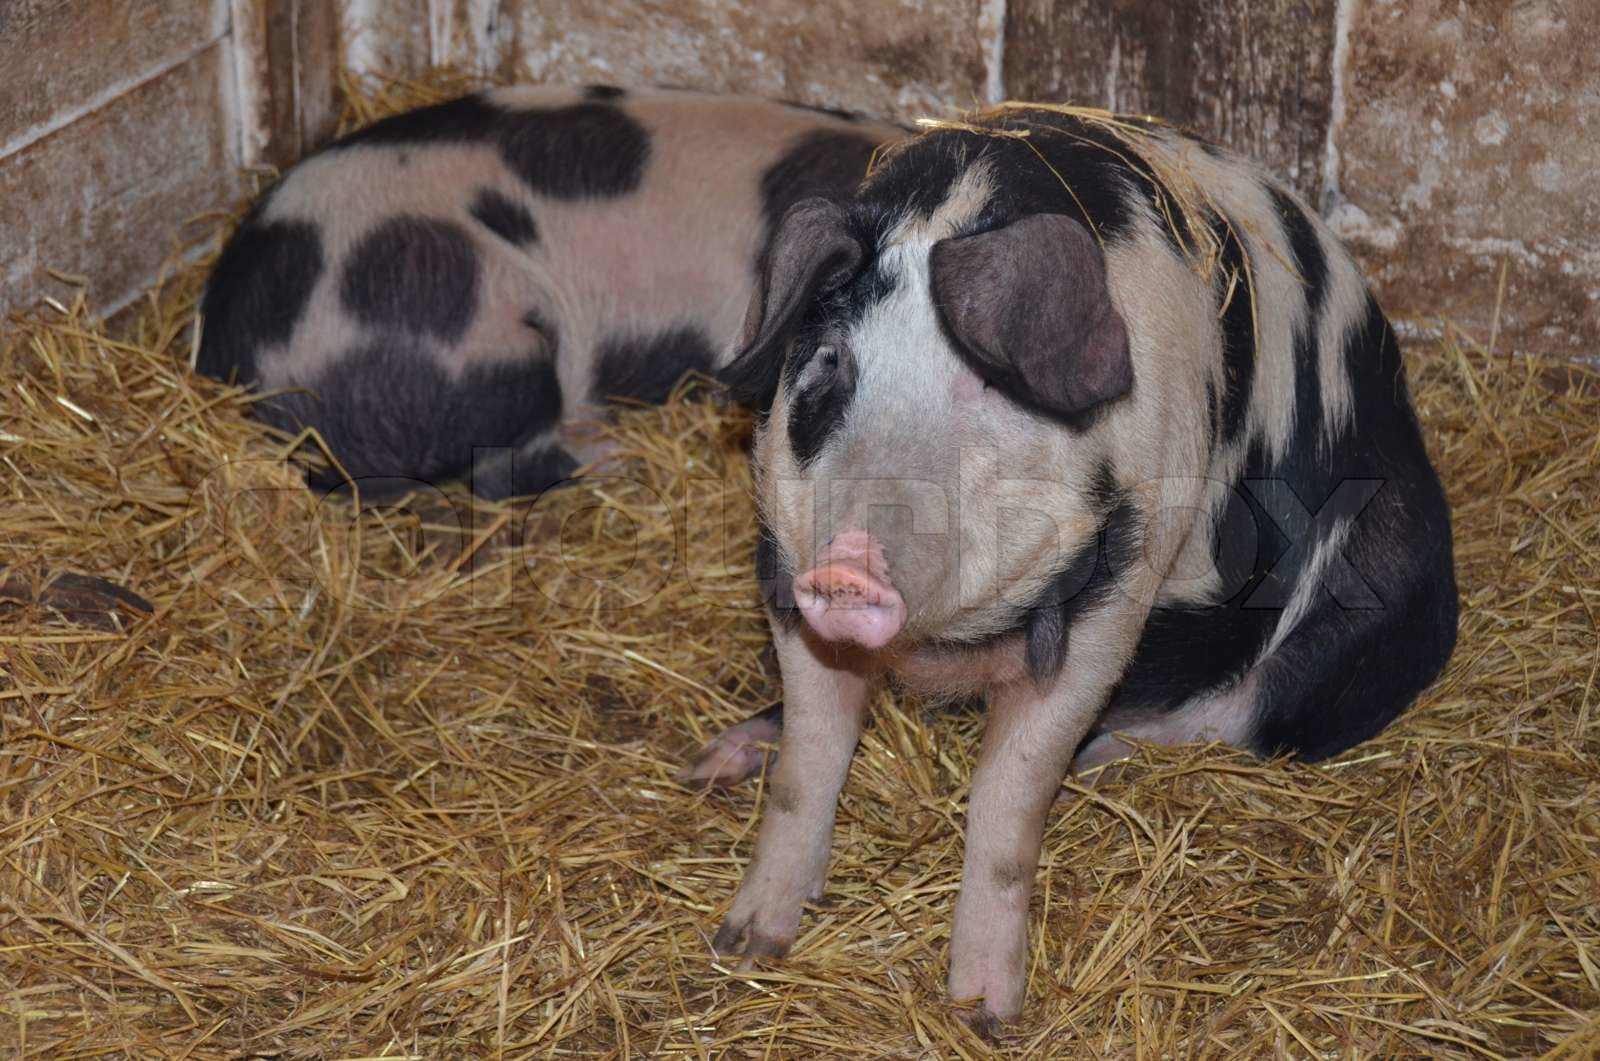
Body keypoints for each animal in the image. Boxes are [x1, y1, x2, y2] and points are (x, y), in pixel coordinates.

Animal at [684, 105, 1458, 1029]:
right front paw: (743, 945)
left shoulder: (1112, 597)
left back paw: (1102, 757)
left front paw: (982, 1013)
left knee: (1232, 715)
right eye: (832, 362)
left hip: (1368, 609)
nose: (848, 569)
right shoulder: (784, 567)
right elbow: (810, 763)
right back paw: (716, 761)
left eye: (987, 383)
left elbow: (1009, 797)